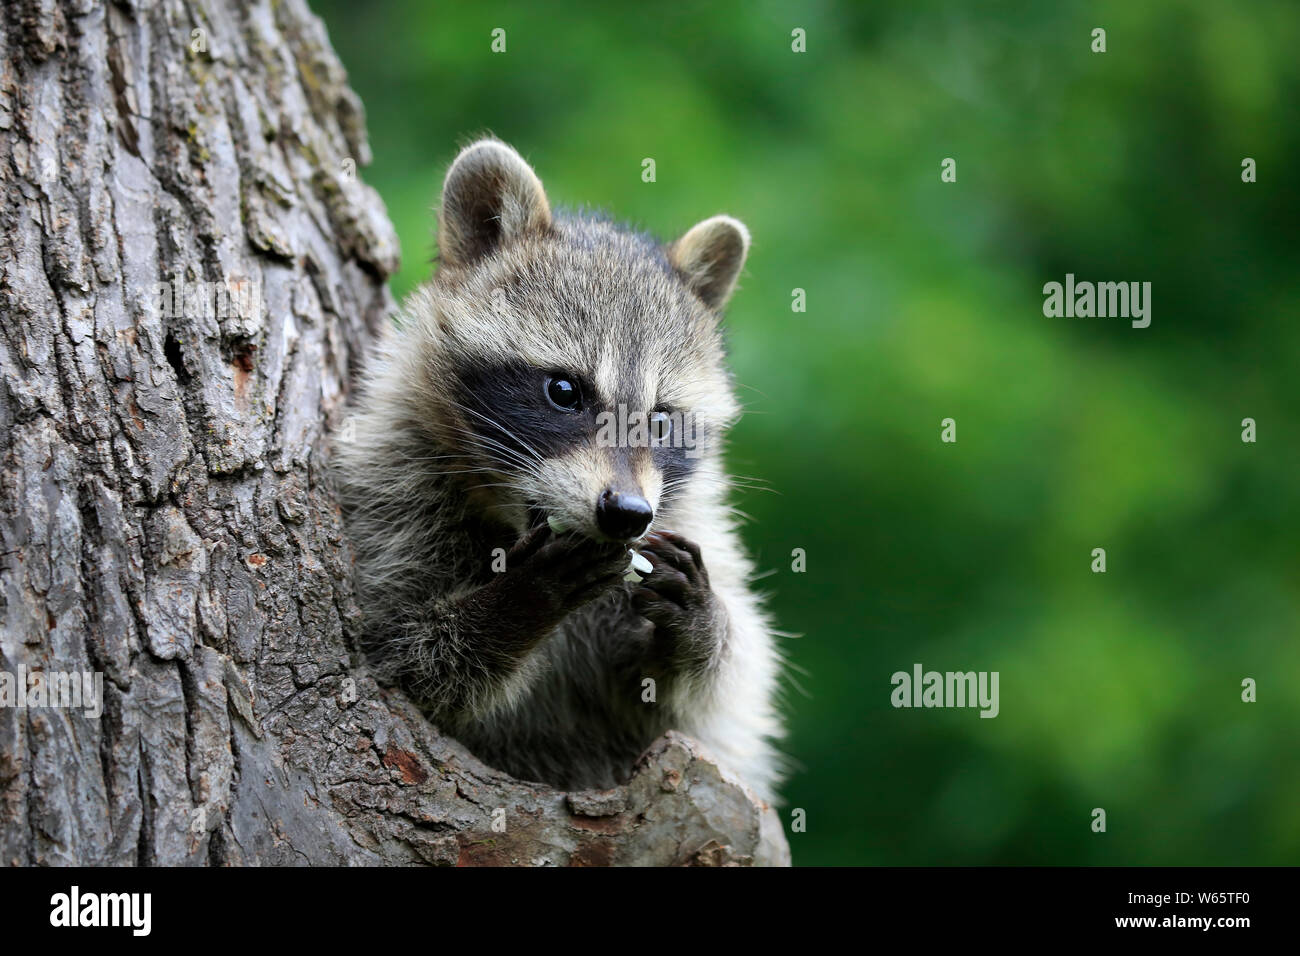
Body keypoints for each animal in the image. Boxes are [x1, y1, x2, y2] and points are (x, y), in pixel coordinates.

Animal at [334, 139, 783, 802]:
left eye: (660, 421)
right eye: (565, 391)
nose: (627, 514)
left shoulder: (691, 520)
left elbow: (713, 696)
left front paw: (703, 628)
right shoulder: (391, 490)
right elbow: (409, 657)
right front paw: (518, 602)